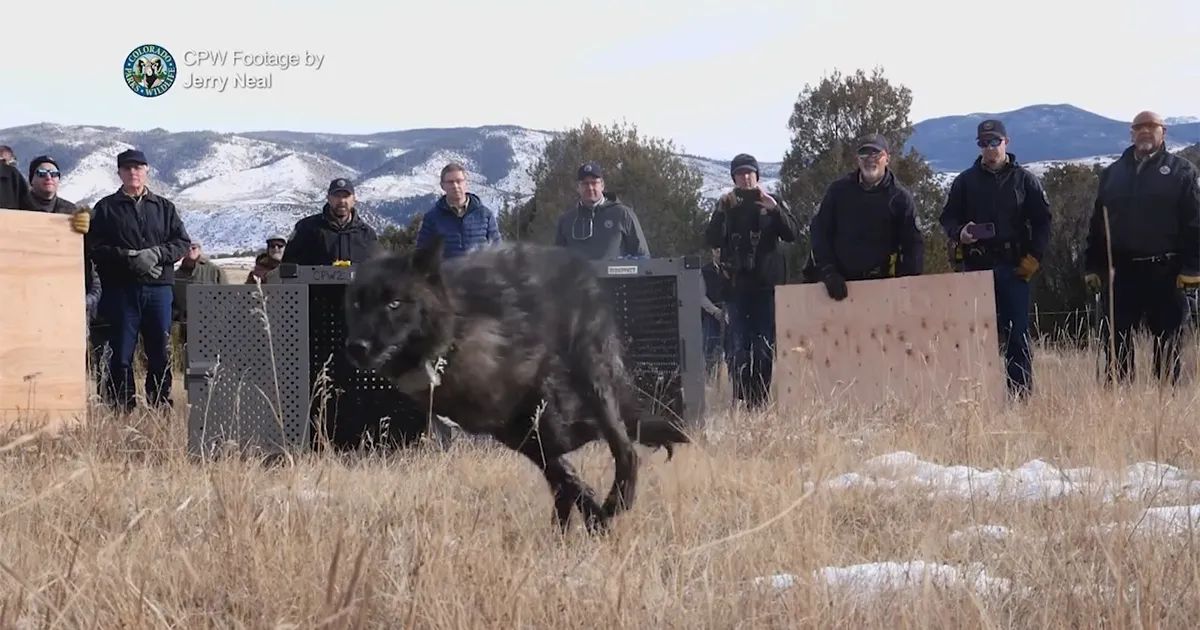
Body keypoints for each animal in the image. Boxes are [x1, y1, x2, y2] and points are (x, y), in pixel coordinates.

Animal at [342, 236, 690, 533]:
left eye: (394, 303)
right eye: (357, 304)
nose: (356, 347)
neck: (454, 339)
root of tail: (576, 262)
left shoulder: (536, 409)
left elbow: (567, 448)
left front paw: (598, 511)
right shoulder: (508, 429)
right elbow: (561, 471)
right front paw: (591, 514)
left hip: (593, 375)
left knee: (621, 444)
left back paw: (618, 497)